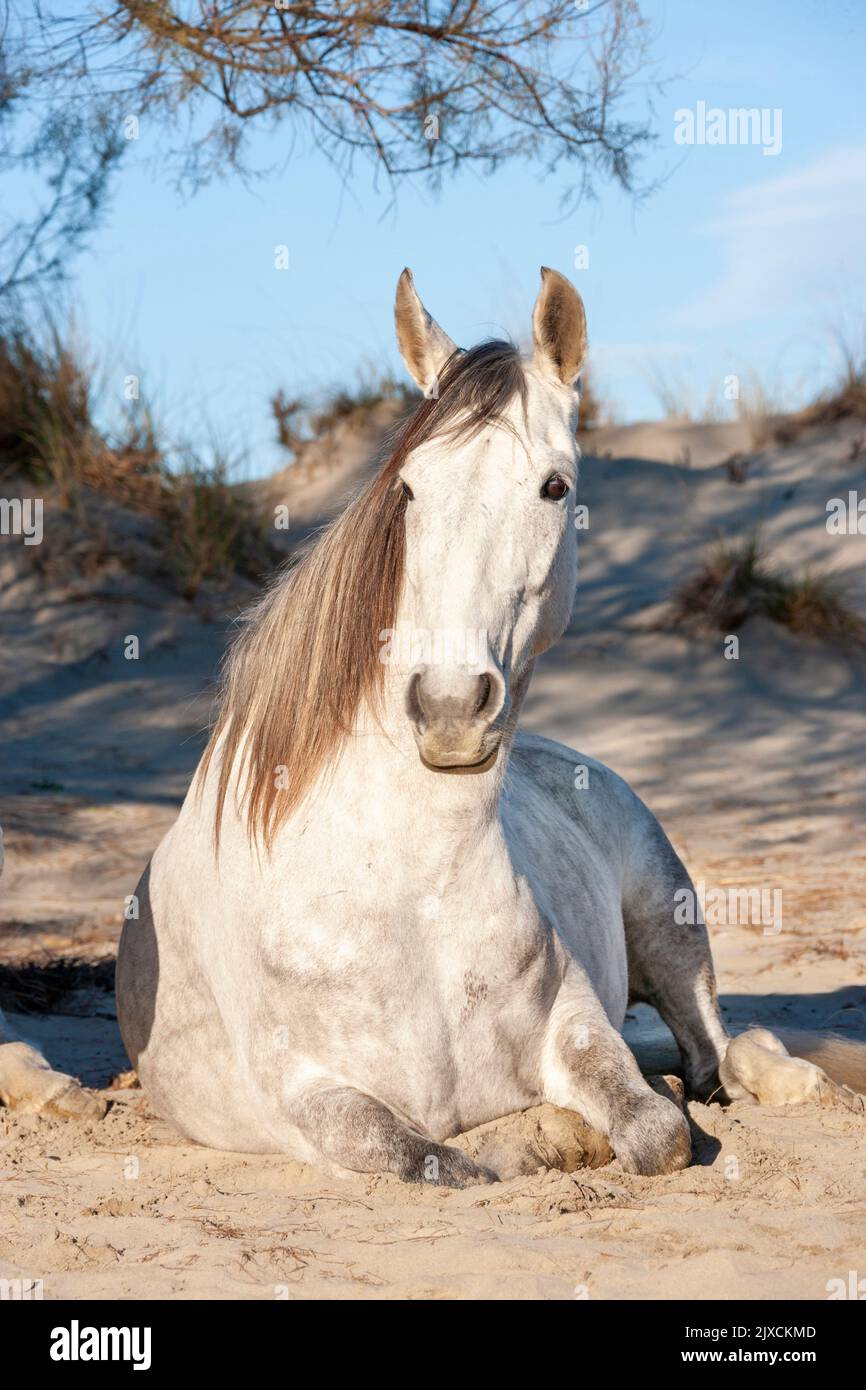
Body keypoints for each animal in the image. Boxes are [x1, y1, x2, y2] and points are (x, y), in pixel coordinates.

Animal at [116, 268, 864, 1184]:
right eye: (408, 489)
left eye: (555, 486)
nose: (448, 708)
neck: (404, 888)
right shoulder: (305, 1098)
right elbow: (433, 1158)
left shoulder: (576, 1025)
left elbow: (655, 1129)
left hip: (670, 929)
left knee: (716, 1056)